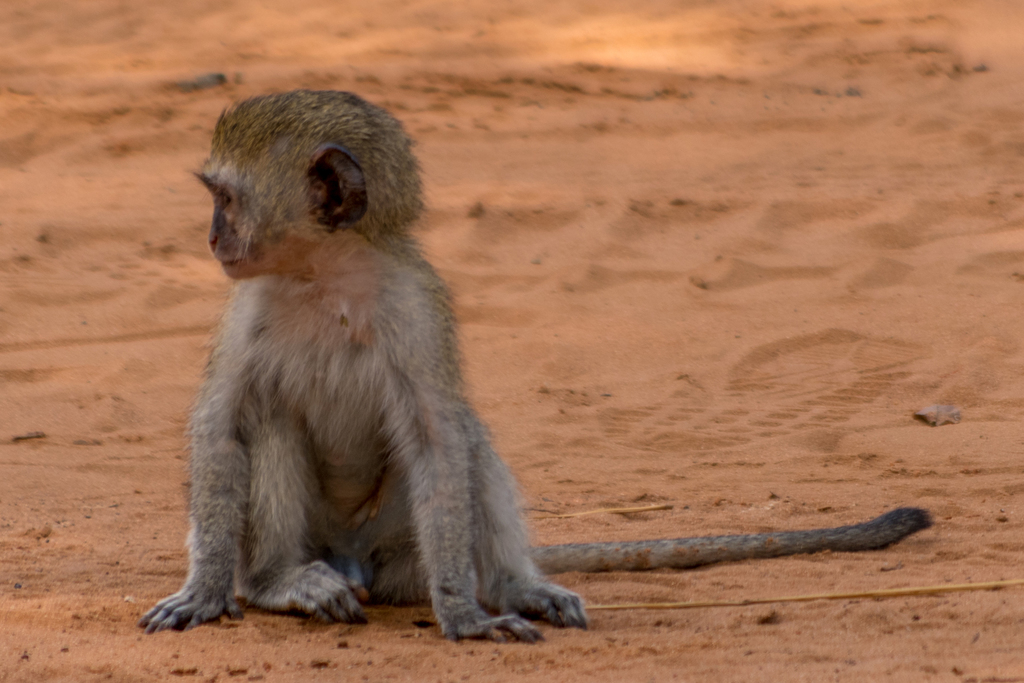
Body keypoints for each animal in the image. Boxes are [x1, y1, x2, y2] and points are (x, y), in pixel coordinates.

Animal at [138, 90, 932, 643]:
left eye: (226, 200)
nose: (212, 241)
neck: (325, 277)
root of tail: (359, 562)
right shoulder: (247, 310)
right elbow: (222, 424)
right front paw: (205, 592)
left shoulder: (416, 310)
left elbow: (438, 439)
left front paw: (462, 611)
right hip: (325, 540)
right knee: (273, 423)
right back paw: (280, 581)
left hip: (401, 548)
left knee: (466, 437)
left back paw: (512, 586)